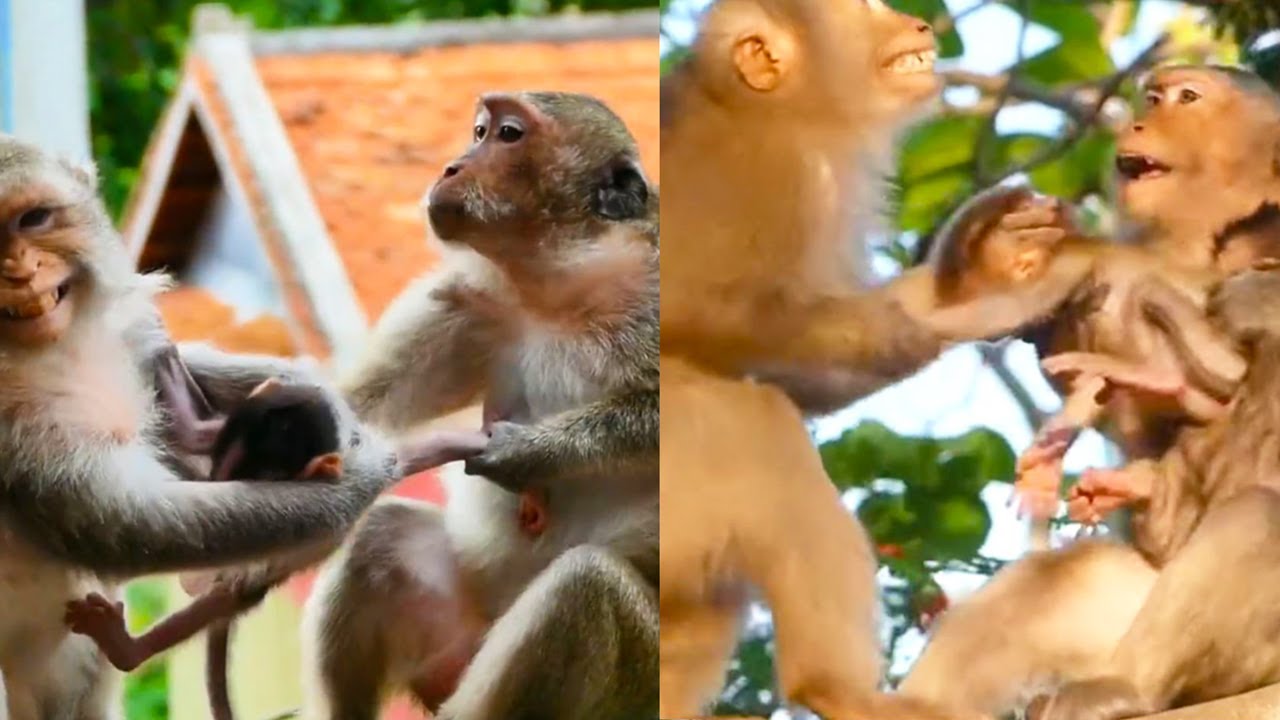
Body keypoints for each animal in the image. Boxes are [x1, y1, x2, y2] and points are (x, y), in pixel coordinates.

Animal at [0, 133, 400, 720]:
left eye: (34, 218)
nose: (19, 272)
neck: (51, 347)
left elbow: (178, 411)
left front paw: (319, 398)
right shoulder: (16, 438)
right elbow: (127, 523)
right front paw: (361, 480)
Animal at [297, 91, 658, 720]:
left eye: (508, 134)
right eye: (479, 131)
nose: (451, 167)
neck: (556, 286)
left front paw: (529, 451)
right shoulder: (466, 302)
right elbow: (365, 406)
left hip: (640, 679)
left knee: (586, 587)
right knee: (382, 537)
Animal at [898, 65, 1280, 720]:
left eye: (1187, 98)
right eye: (1151, 98)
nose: (1139, 120)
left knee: (1261, 515)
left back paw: (1129, 686)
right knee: (1071, 574)